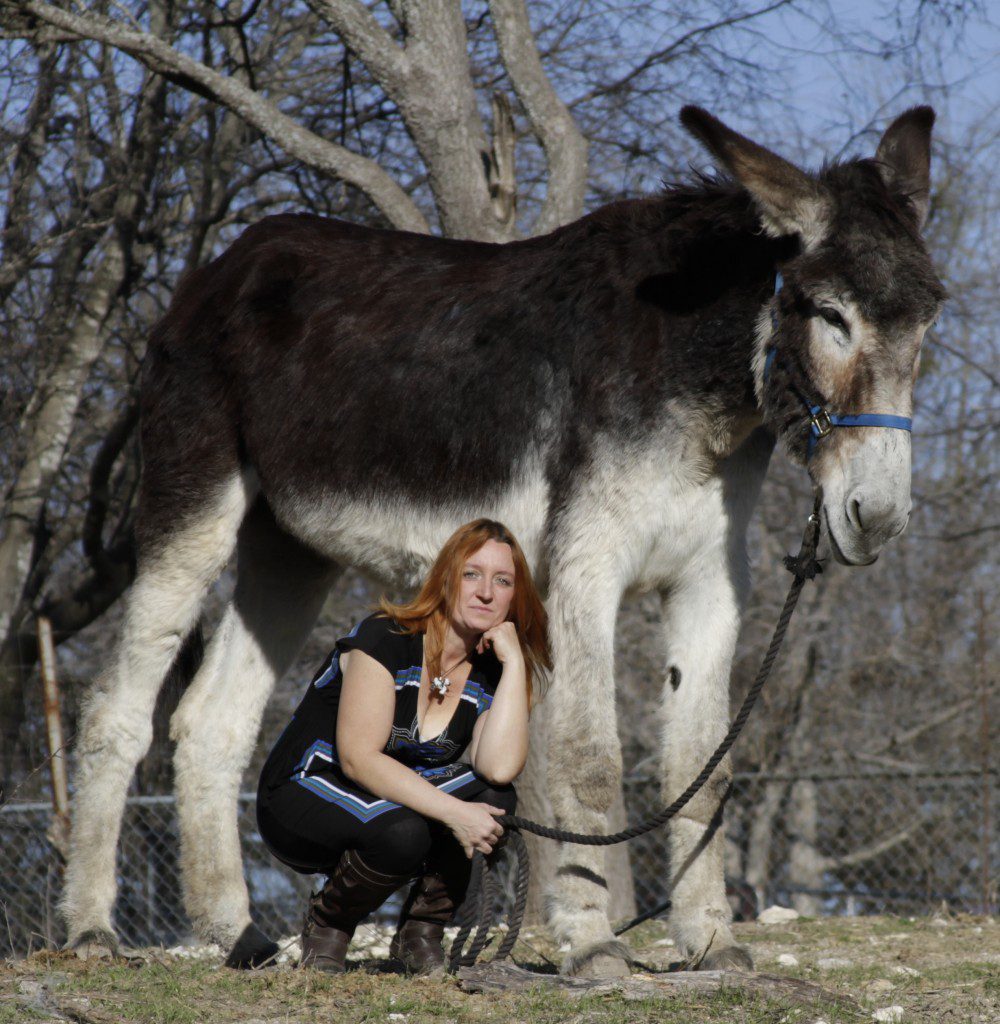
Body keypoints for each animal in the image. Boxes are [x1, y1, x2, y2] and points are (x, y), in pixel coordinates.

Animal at [60, 106, 944, 977]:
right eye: (831, 314)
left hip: (291, 549)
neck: (694, 382)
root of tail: (218, 270)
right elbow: (589, 758)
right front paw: (591, 942)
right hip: (194, 506)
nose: (878, 516)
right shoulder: (587, 568)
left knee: (212, 723)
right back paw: (92, 929)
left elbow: (704, 762)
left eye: (928, 321)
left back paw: (236, 934)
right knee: (116, 711)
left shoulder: (710, 583)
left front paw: (710, 943)